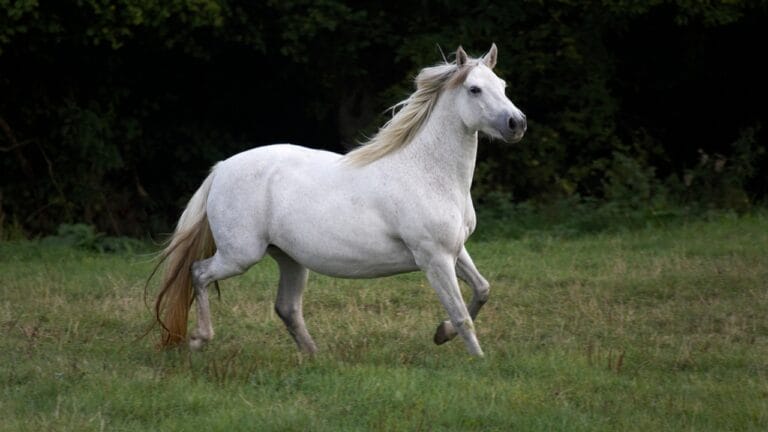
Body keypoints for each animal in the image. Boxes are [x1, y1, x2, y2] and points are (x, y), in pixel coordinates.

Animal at [150, 44, 526, 357]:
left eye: (503, 85)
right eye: (474, 89)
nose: (516, 123)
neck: (426, 173)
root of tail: (221, 169)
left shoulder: (455, 250)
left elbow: (483, 289)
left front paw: (441, 334)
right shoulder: (434, 257)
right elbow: (462, 314)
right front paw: (478, 361)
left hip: (289, 258)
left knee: (286, 308)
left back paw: (315, 358)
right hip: (240, 255)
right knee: (199, 273)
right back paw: (200, 340)